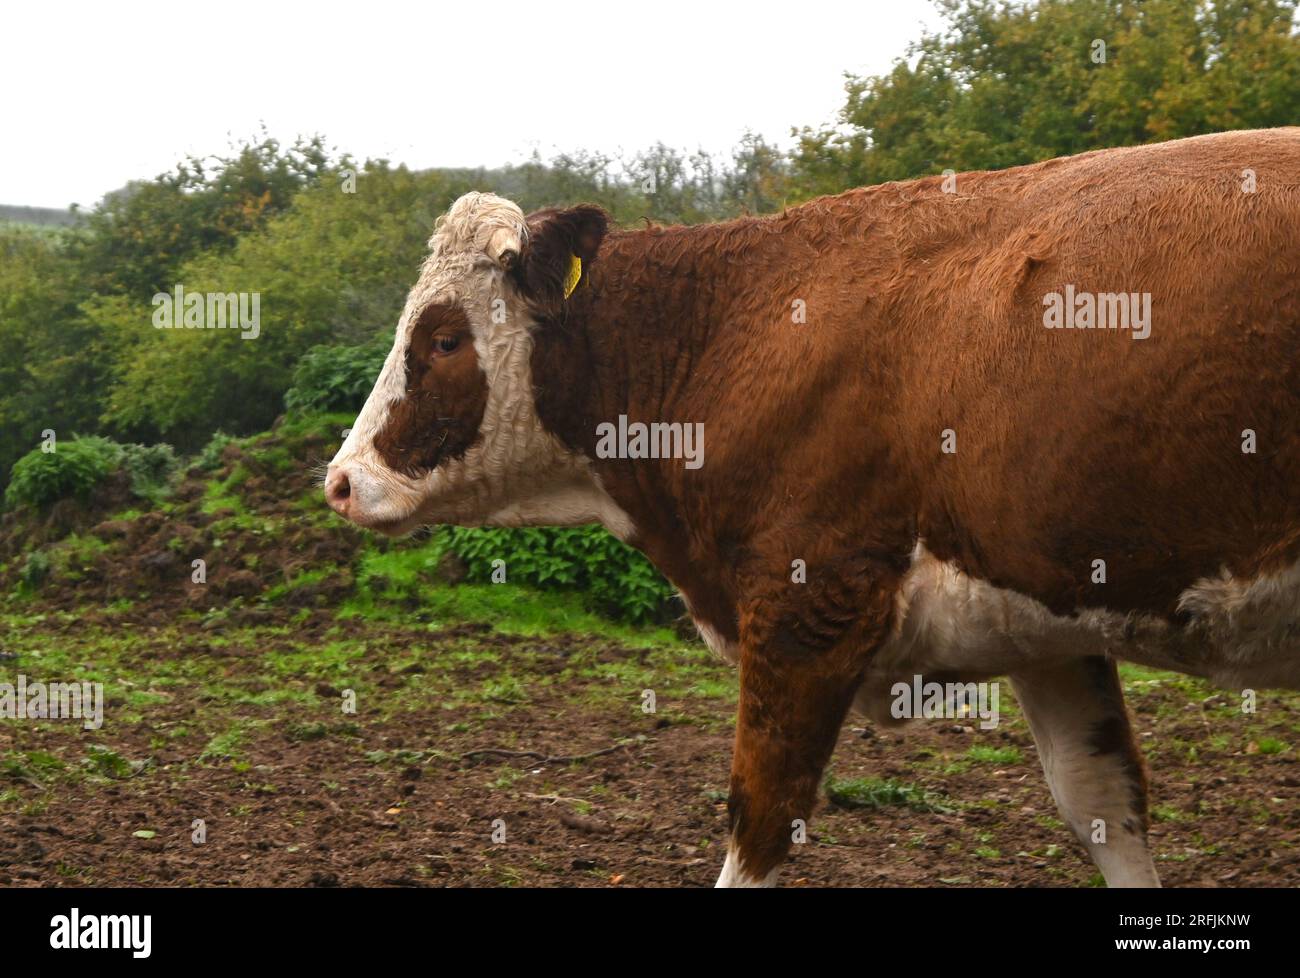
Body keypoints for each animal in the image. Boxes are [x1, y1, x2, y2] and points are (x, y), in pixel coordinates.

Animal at [325, 128, 1300, 887]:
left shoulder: (809, 608)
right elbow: (1104, 805)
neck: (733, 332)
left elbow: (760, 819)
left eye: (442, 339)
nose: (341, 479)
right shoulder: (1046, 618)